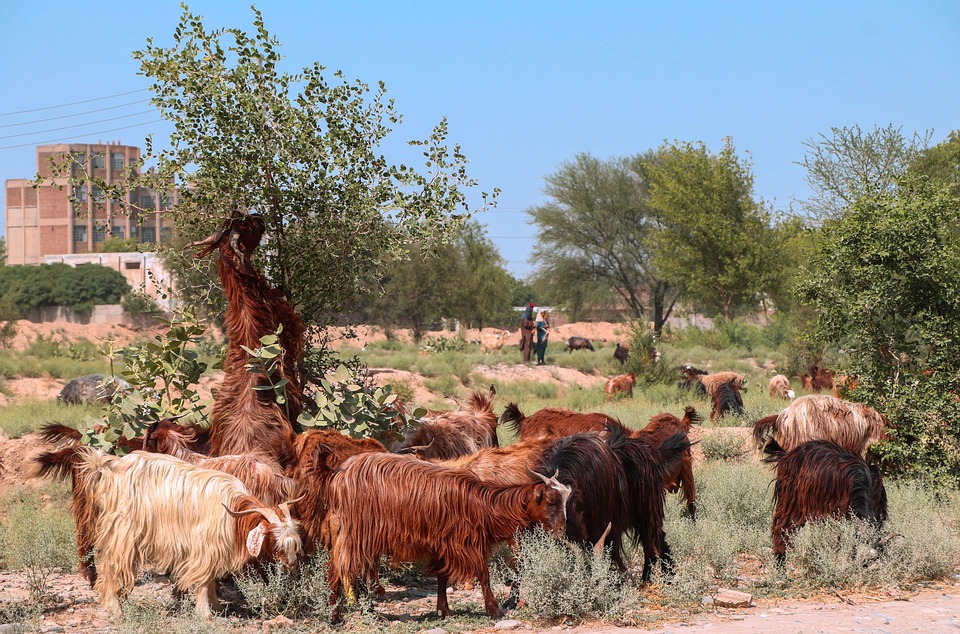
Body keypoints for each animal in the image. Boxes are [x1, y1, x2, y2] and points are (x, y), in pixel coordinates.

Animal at [34, 448, 303, 616]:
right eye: (275, 542)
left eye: (294, 544)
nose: (291, 566)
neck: (235, 512)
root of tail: (107, 469)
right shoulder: (204, 546)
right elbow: (203, 580)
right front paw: (205, 614)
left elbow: (211, 580)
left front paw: (216, 607)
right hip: (123, 533)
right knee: (111, 567)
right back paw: (115, 610)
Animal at [325, 452, 571, 620]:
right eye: (551, 500)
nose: (561, 531)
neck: (481, 506)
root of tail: (340, 474)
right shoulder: (463, 543)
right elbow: (483, 574)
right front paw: (494, 609)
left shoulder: (441, 544)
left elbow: (442, 577)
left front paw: (444, 610)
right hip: (355, 533)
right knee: (342, 568)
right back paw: (338, 615)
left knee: (345, 568)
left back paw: (361, 610)